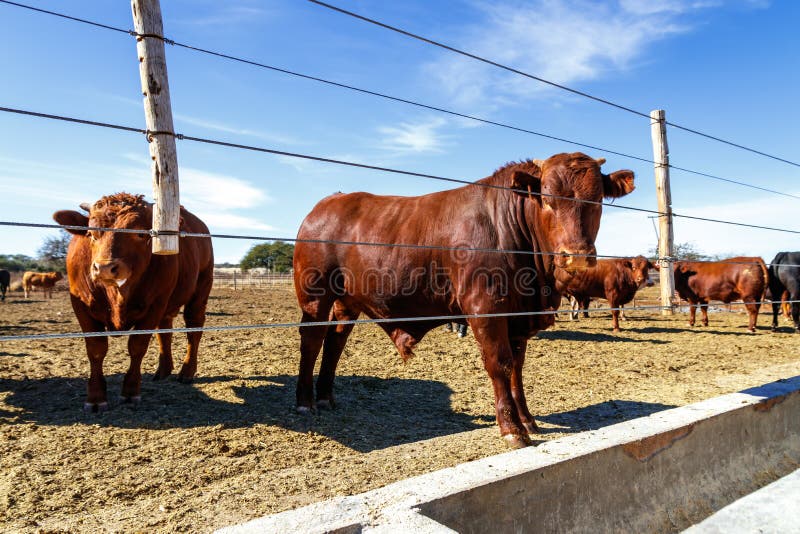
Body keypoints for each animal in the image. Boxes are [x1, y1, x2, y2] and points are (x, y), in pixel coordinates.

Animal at [52, 193, 214, 412]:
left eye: (140, 234)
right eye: (92, 233)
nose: (104, 268)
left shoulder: (154, 305)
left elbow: (137, 347)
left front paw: (130, 392)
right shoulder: (81, 305)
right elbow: (96, 349)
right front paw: (96, 397)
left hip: (200, 291)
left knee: (194, 329)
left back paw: (187, 372)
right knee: (165, 331)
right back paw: (163, 371)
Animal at [293, 152, 635, 448]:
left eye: (597, 200)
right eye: (547, 199)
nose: (575, 256)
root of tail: (330, 201)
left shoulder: (518, 318)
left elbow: (517, 367)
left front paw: (527, 419)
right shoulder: (486, 309)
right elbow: (500, 363)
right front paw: (512, 428)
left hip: (346, 302)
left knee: (335, 340)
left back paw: (325, 397)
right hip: (315, 295)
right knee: (312, 340)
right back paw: (305, 402)